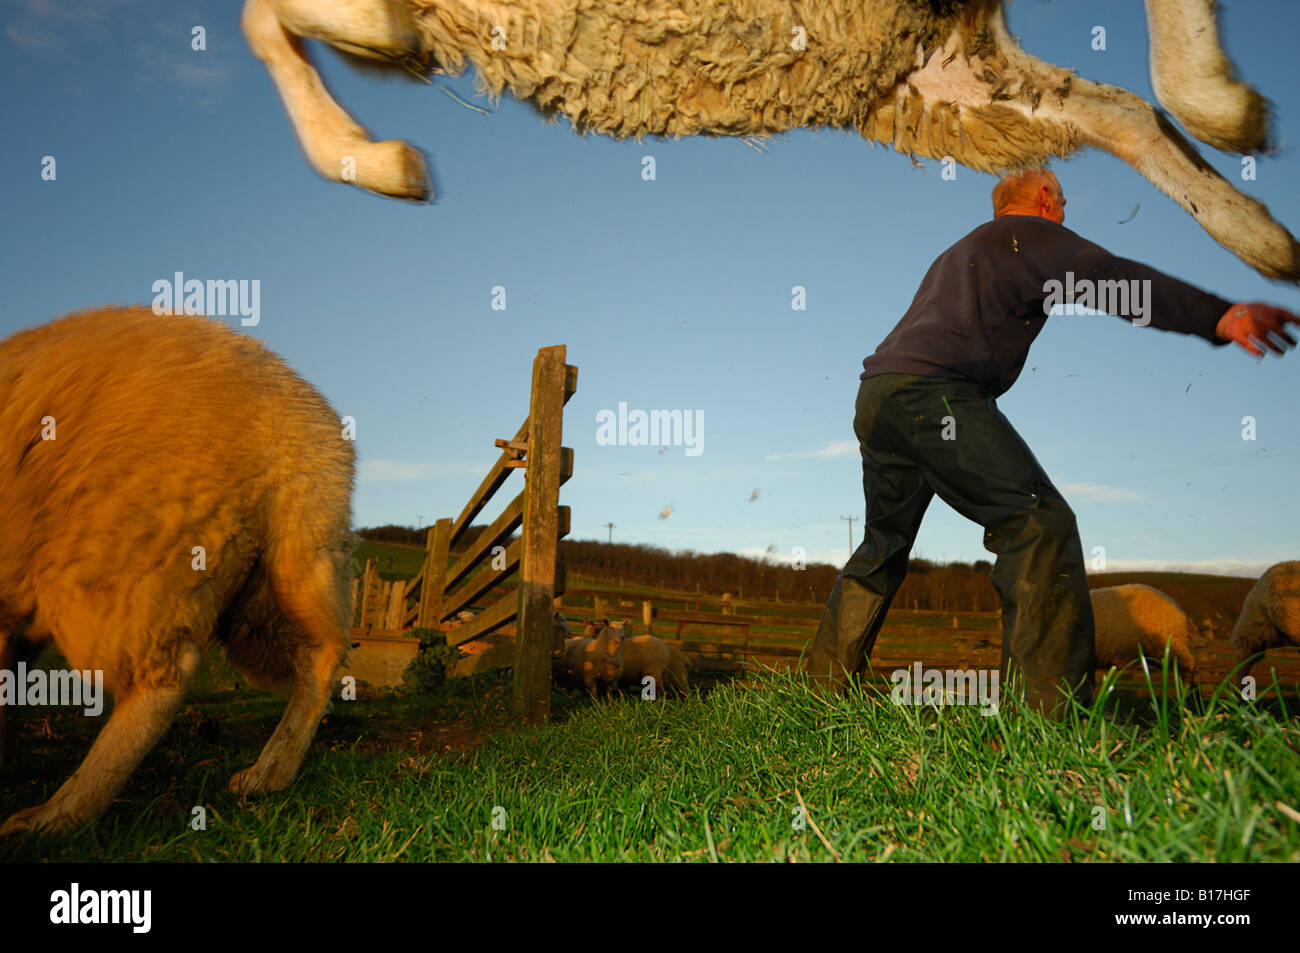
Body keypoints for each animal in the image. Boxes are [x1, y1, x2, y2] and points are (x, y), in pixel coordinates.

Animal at [0, 307, 355, 836]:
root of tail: (296, 415)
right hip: (286, 565)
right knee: (320, 652)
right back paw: (269, 773)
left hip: (125, 553)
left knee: (165, 679)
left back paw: (56, 815)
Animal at [242, 0, 1299, 280]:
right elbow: (265, 21)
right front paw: (380, 158)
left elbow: (270, 15)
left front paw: (373, 53)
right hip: (948, 87)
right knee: (1119, 114)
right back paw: (1260, 234)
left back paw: (1218, 101)